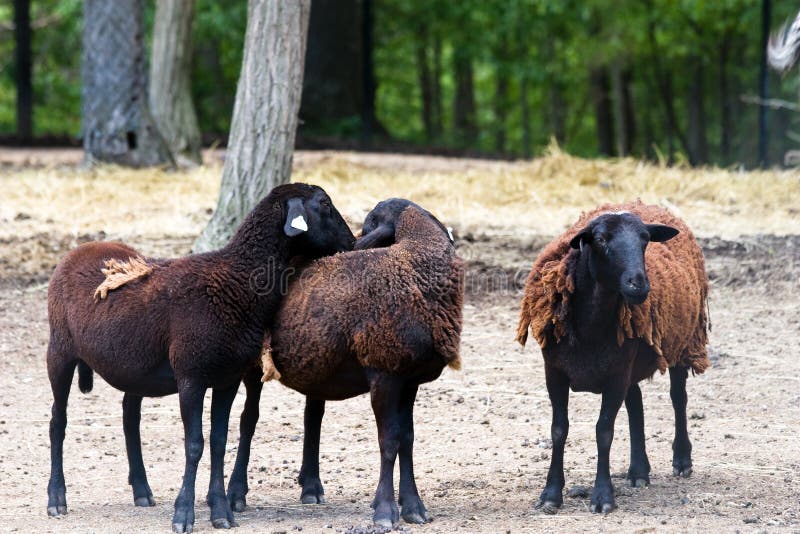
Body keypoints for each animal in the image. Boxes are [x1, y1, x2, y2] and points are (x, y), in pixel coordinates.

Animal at [45, 183, 355, 533]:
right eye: (324, 203)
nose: (352, 242)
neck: (237, 281)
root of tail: (81, 249)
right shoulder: (190, 377)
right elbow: (194, 444)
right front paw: (183, 514)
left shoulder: (227, 378)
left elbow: (219, 441)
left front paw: (221, 511)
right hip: (60, 349)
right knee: (57, 421)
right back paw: (57, 499)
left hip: (134, 367)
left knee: (129, 417)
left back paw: (141, 490)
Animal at [226, 200, 464, 528]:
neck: (412, 260)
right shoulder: (384, 373)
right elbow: (389, 441)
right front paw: (386, 511)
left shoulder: (409, 379)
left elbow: (408, 439)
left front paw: (414, 506)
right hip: (253, 367)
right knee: (248, 420)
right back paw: (236, 494)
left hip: (317, 363)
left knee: (312, 417)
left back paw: (311, 487)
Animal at [515, 200, 709, 514]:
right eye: (601, 239)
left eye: (645, 239)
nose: (638, 285)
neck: (589, 327)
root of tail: (646, 203)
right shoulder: (554, 373)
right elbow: (558, 430)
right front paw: (551, 494)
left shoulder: (616, 376)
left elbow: (604, 431)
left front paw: (603, 496)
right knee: (636, 403)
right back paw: (639, 470)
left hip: (682, 343)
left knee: (678, 398)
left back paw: (681, 459)